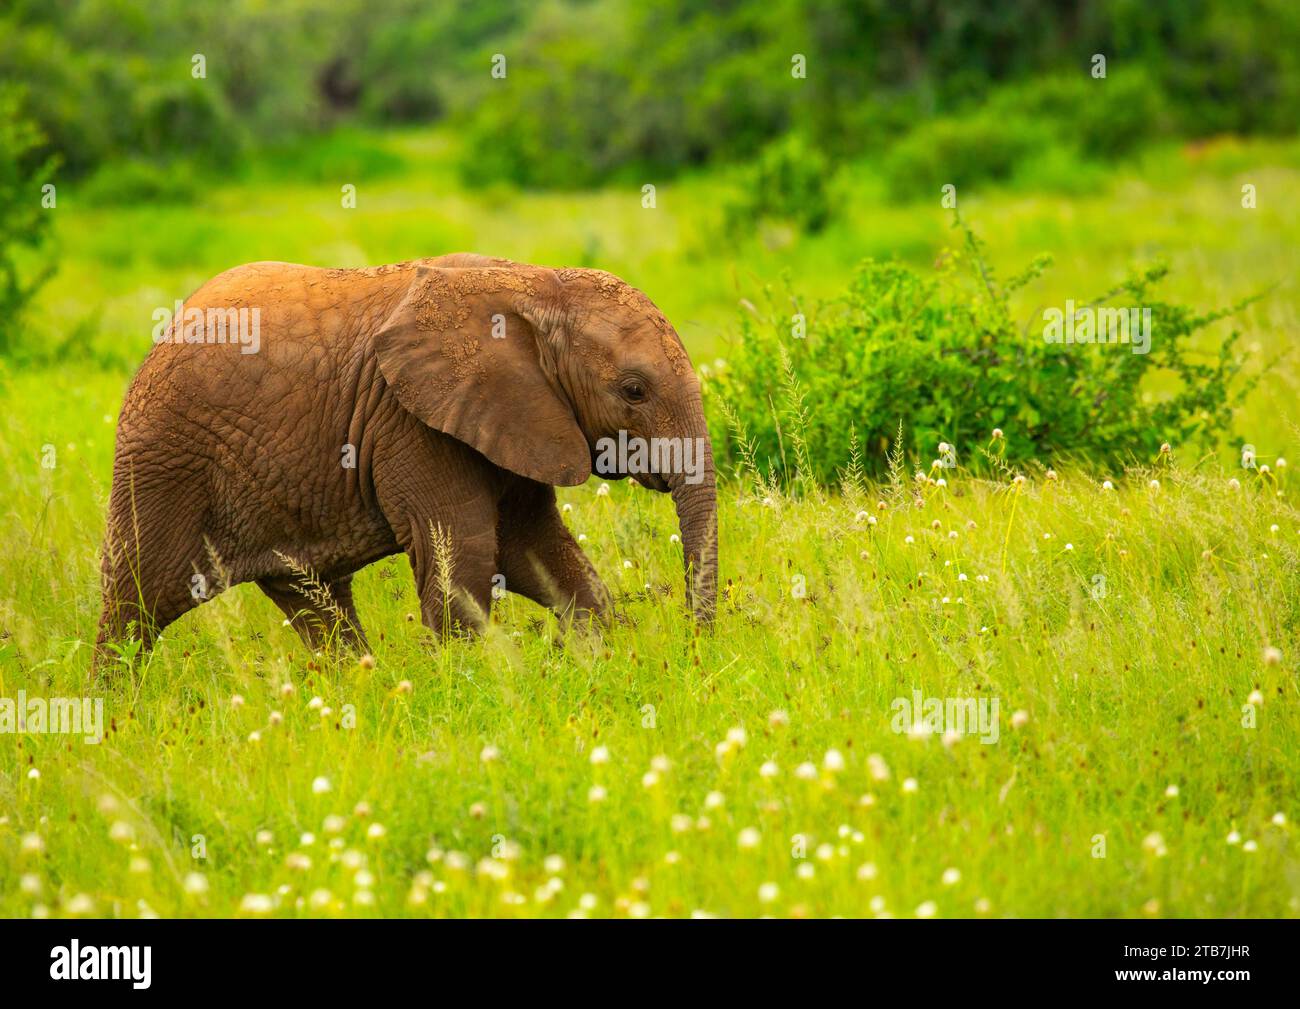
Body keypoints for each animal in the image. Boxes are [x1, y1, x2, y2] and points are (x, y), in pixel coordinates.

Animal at [94, 254, 717, 664]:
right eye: (633, 391)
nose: (694, 650)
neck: (536, 285)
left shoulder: (515, 415)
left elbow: (532, 548)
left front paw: (590, 658)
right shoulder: (412, 423)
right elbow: (465, 558)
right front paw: (468, 686)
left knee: (316, 602)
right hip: (162, 460)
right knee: (134, 604)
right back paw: (117, 715)